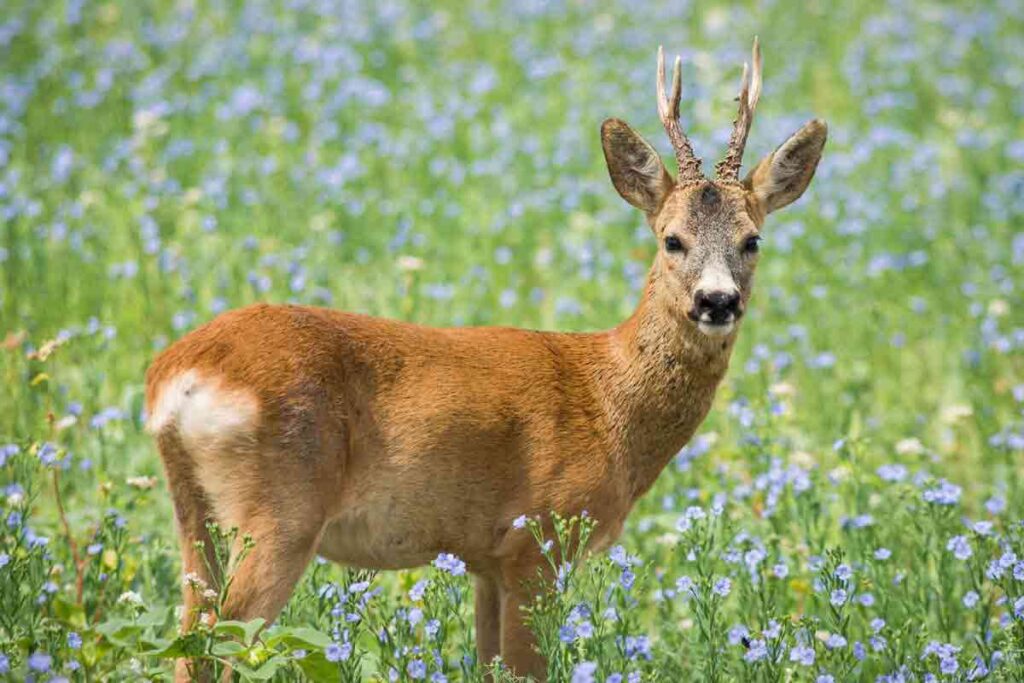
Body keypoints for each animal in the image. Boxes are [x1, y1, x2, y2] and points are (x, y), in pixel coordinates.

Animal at [144, 38, 826, 681]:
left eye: (752, 240)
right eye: (672, 239)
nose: (717, 301)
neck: (608, 403)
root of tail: (176, 376)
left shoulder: (484, 560)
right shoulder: (537, 540)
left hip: (196, 513)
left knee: (189, 639)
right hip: (280, 509)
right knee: (219, 645)